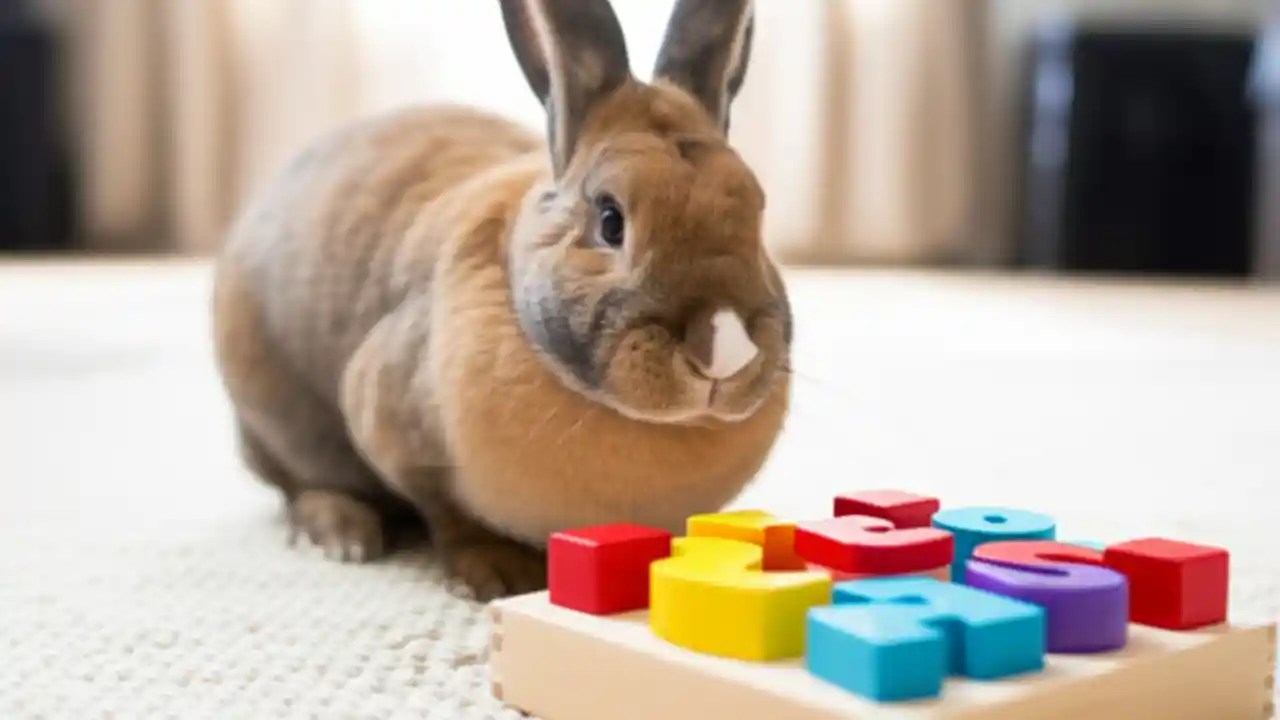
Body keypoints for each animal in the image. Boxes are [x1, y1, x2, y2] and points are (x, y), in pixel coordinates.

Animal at [211, 0, 792, 601]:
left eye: (757, 212)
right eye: (611, 221)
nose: (725, 348)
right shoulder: (400, 437)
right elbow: (450, 517)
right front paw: (497, 576)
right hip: (278, 418)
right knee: (298, 484)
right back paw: (343, 535)